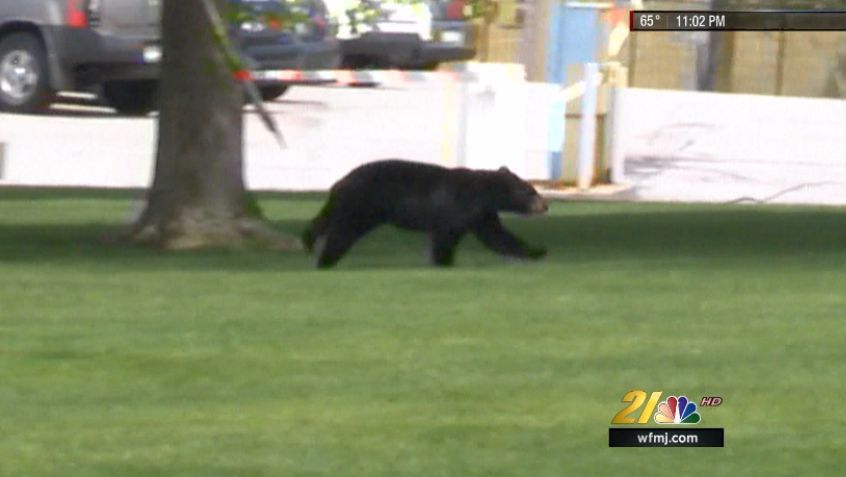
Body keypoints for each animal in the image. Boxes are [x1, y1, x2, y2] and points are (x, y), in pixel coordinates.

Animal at [302, 159, 549, 268]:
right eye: (532, 191)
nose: (545, 205)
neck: (485, 192)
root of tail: (339, 183)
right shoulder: (459, 207)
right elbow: (445, 236)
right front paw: (443, 261)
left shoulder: (482, 214)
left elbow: (497, 236)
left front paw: (535, 251)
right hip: (363, 204)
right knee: (343, 231)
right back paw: (326, 259)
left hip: (348, 204)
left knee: (325, 220)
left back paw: (309, 241)